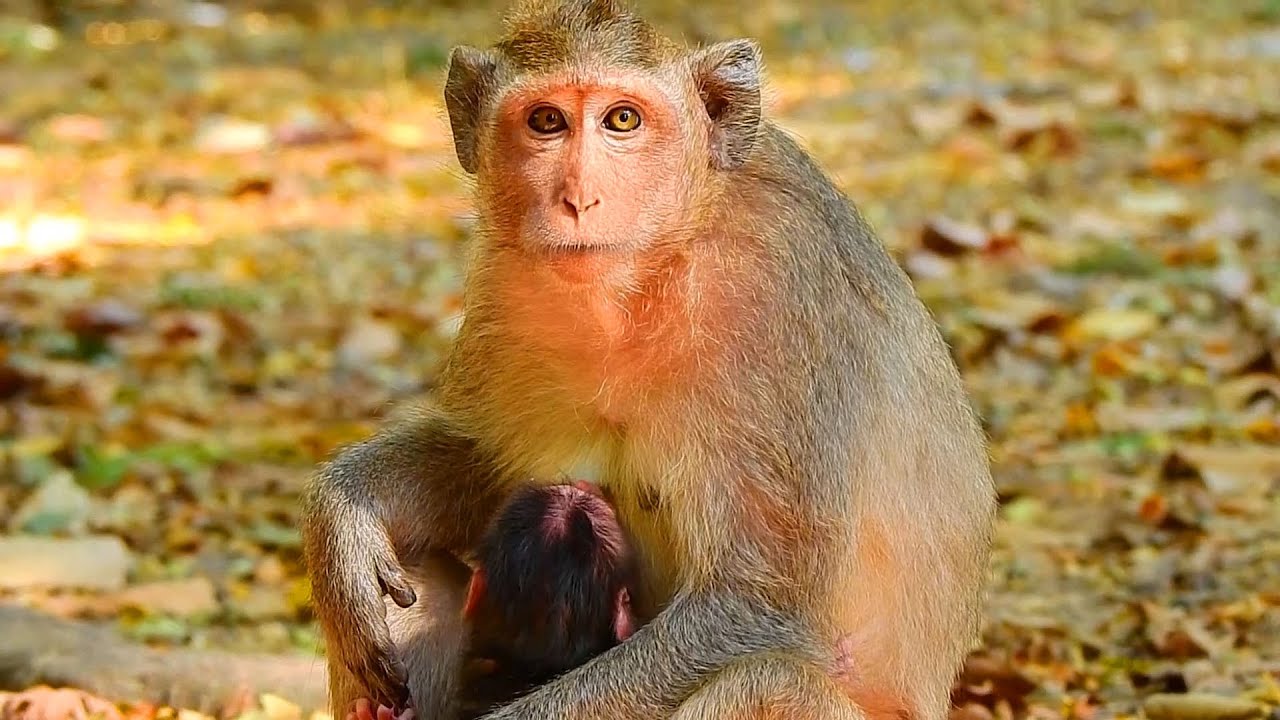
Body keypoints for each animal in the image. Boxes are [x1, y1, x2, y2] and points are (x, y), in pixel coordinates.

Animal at [301, 0, 997, 719]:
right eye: (546, 121)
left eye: (623, 120)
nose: (578, 199)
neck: (660, 266)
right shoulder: (505, 290)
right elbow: (486, 470)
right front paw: (345, 518)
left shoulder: (776, 298)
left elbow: (760, 607)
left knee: (767, 680)